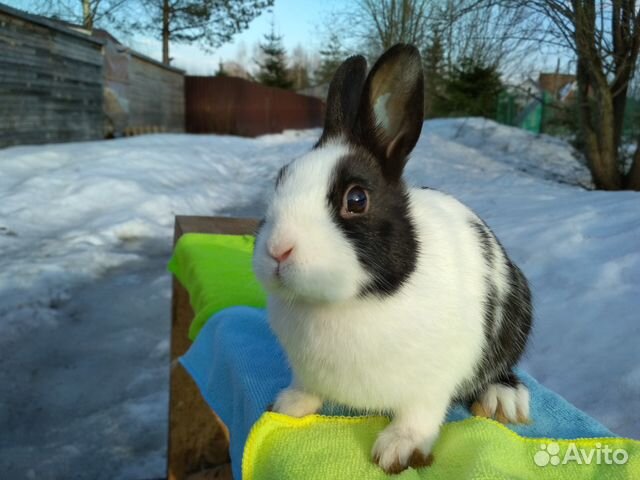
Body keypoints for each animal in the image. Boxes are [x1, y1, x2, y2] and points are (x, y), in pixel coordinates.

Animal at [252, 44, 533, 474]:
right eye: (280, 180)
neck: (347, 303)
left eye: (356, 199)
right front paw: (290, 404)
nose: (277, 249)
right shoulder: (304, 370)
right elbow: (304, 388)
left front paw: (398, 449)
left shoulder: (432, 383)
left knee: (501, 369)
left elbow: (419, 416)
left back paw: (504, 398)